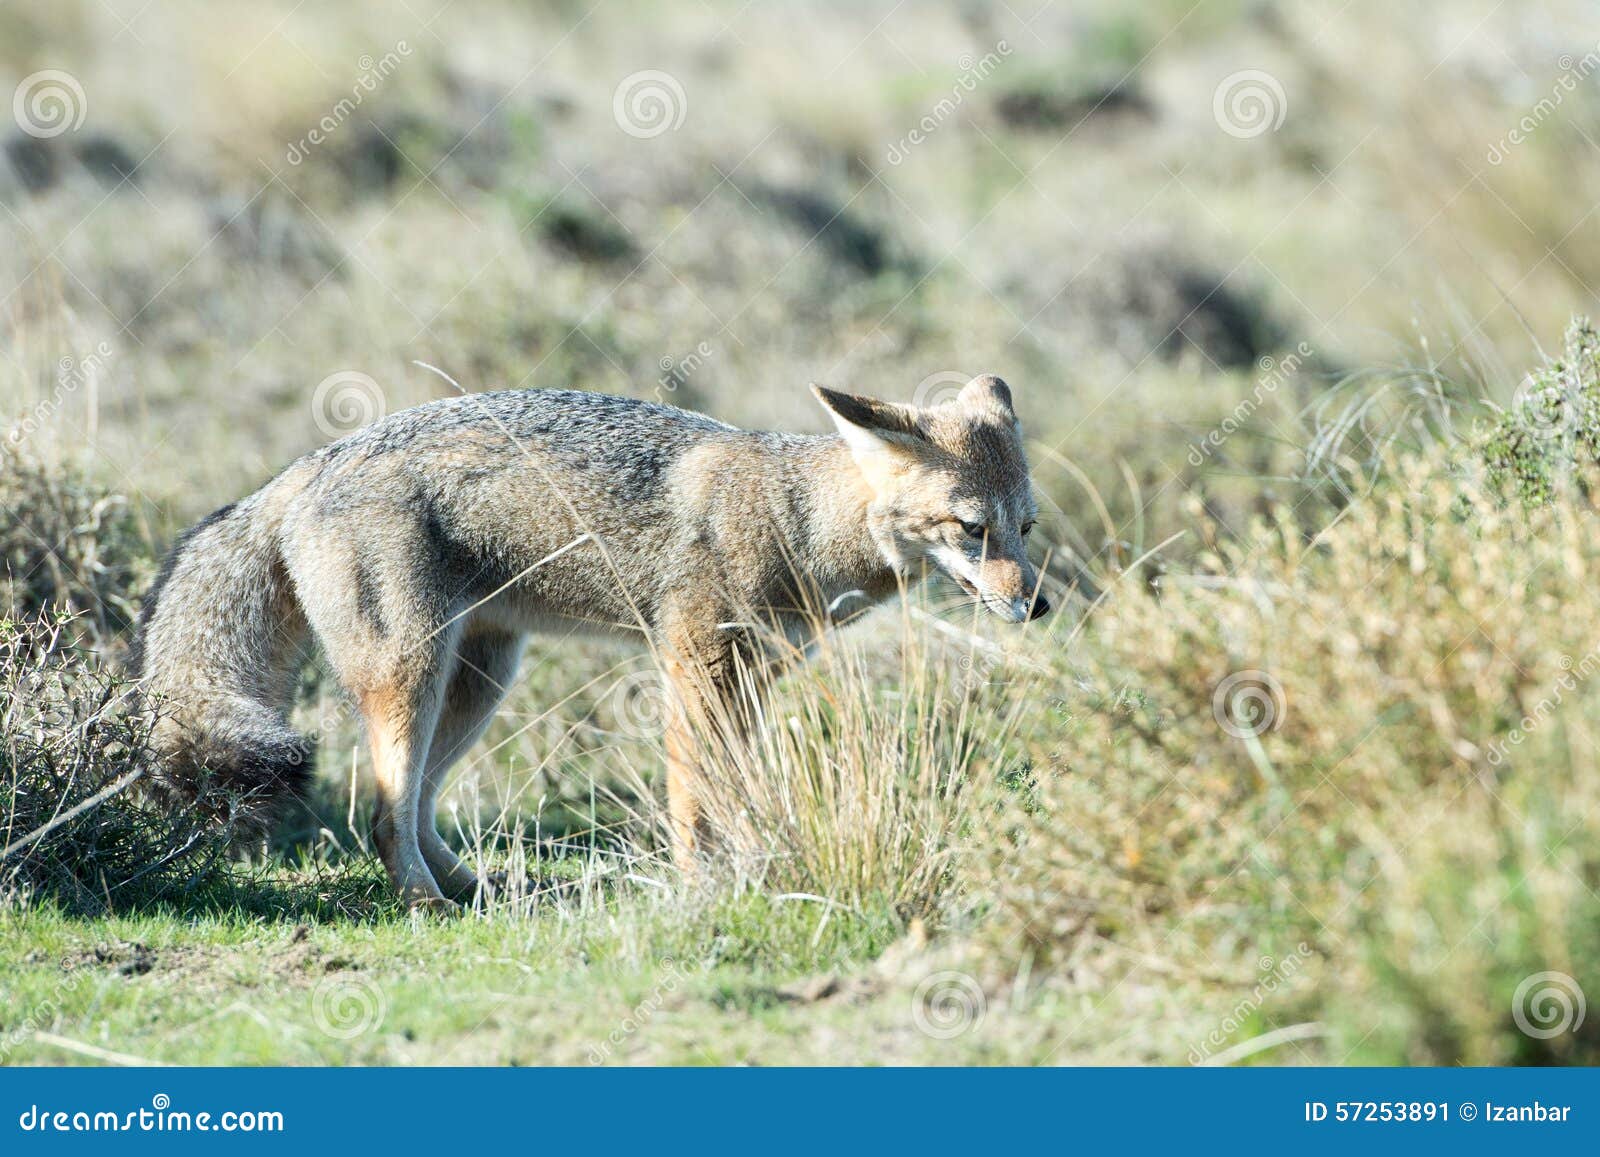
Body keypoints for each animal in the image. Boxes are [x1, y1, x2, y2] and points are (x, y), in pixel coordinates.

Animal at [131, 373, 1051, 909]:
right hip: (413, 677)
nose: (1036, 605)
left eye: (1027, 526)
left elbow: (737, 789)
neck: (792, 519)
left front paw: (751, 863)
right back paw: (427, 901)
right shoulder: (693, 667)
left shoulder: (753, 678)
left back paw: (476, 887)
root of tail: (305, 466)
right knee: (384, 815)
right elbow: (695, 796)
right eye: (972, 530)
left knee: (414, 804)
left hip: (476, 684)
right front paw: (703, 886)